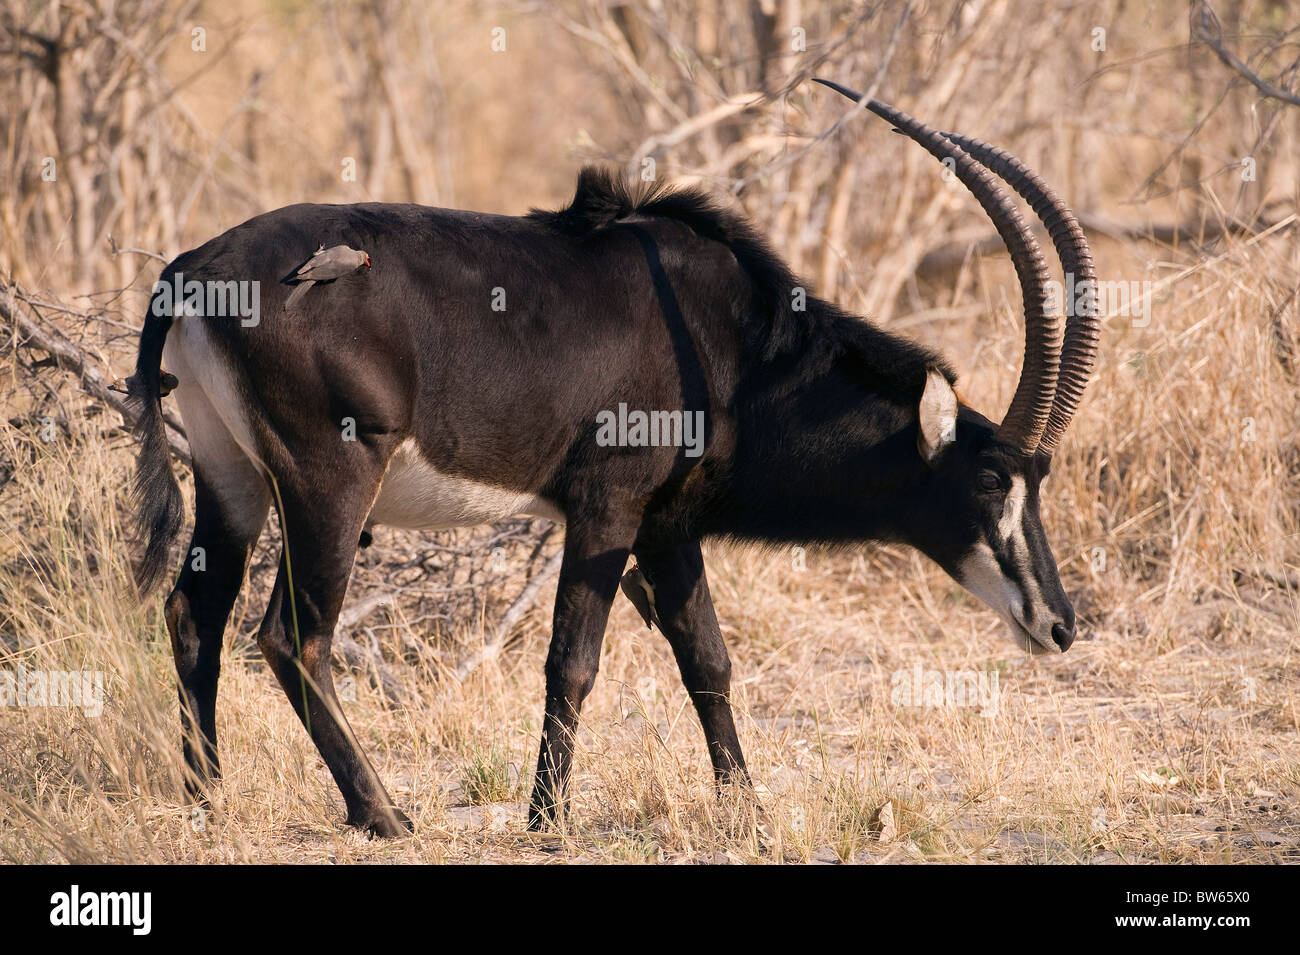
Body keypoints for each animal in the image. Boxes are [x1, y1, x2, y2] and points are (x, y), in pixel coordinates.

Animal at [128, 79, 1098, 837]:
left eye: (1040, 478)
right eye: (991, 478)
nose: (1059, 626)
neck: (737, 349)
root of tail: (194, 266)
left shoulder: (667, 524)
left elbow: (707, 656)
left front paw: (745, 810)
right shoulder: (607, 508)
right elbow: (574, 659)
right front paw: (546, 818)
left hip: (229, 474)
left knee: (192, 614)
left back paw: (207, 799)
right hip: (329, 484)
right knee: (293, 636)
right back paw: (383, 813)